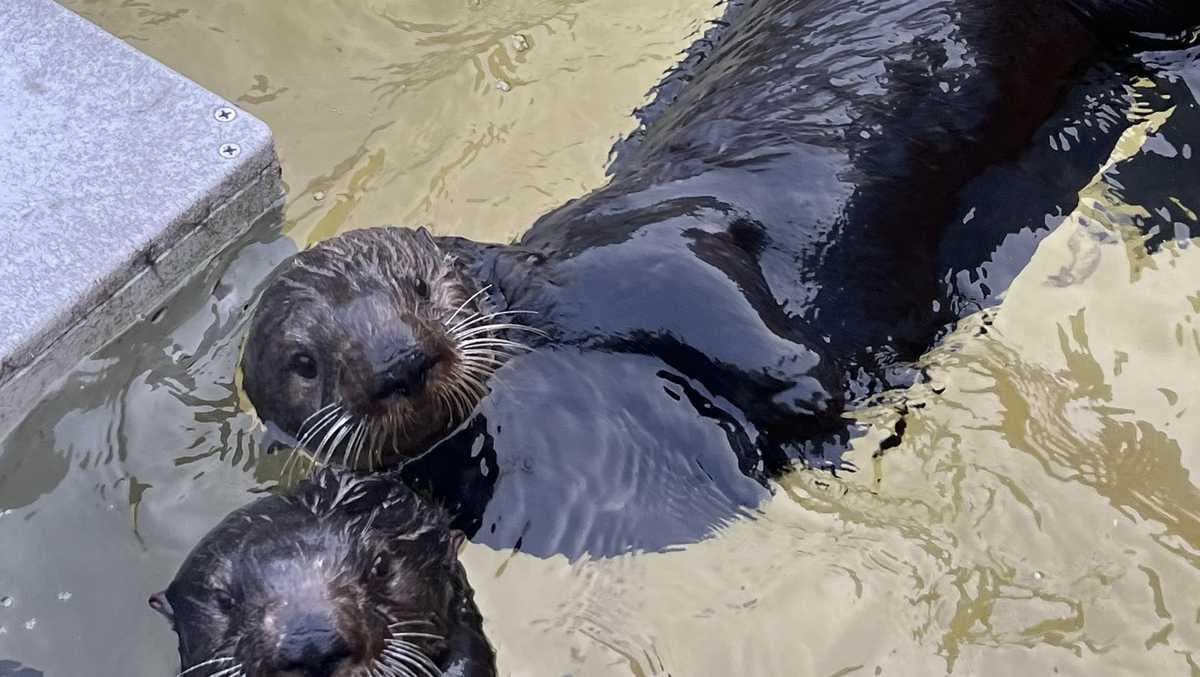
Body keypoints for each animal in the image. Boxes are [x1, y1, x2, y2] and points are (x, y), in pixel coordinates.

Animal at [243, 0, 1200, 557]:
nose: (400, 362)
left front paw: (814, 386)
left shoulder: (636, 248)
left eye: (417, 289)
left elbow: (716, 292)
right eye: (306, 363)